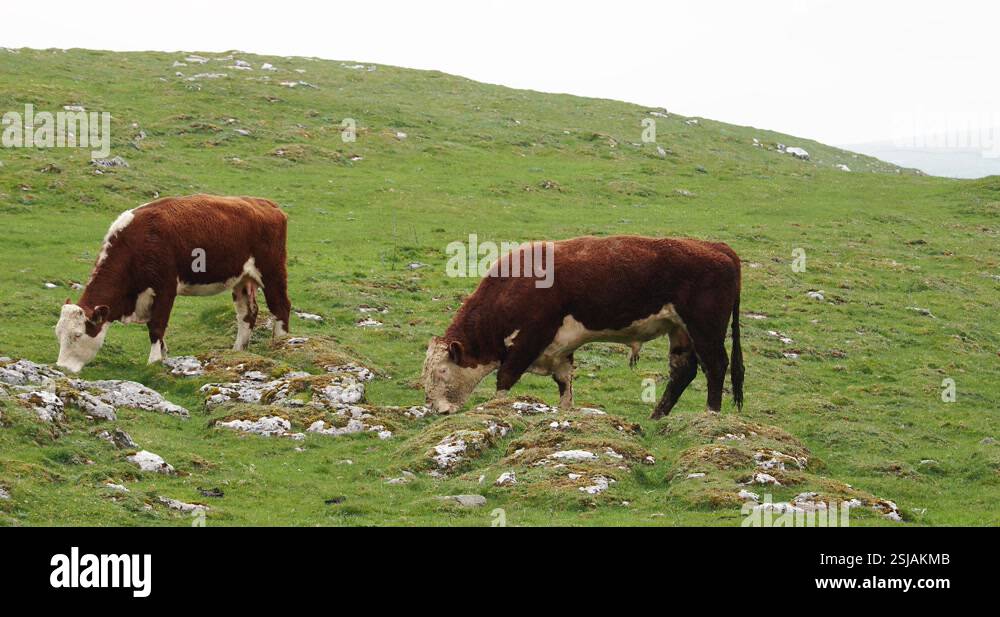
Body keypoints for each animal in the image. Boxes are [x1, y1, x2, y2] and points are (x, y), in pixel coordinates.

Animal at [55, 194, 291, 373]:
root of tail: (268, 205)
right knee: (246, 314)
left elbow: (156, 326)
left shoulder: (165, 288)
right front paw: (163, 355)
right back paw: (238, 351)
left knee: (281, 307)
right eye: (58, 333)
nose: (61, 367)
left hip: (272, 271)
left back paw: (282, 345)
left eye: (78, 335)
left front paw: (153, 361)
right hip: (242, 279)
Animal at [422, 235, 743, 417]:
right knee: (682, 371)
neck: (511, 286)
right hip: (680, 330)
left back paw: (711, 414)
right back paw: (657, 417)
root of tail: (716, 246)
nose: (437, 409)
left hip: (705, 327)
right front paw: (565, 412)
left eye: (441, 372)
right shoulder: (561, 347)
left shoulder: (530, 338)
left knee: (716, 365)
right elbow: (565, 382)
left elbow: (505, 378)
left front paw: (495, 409)